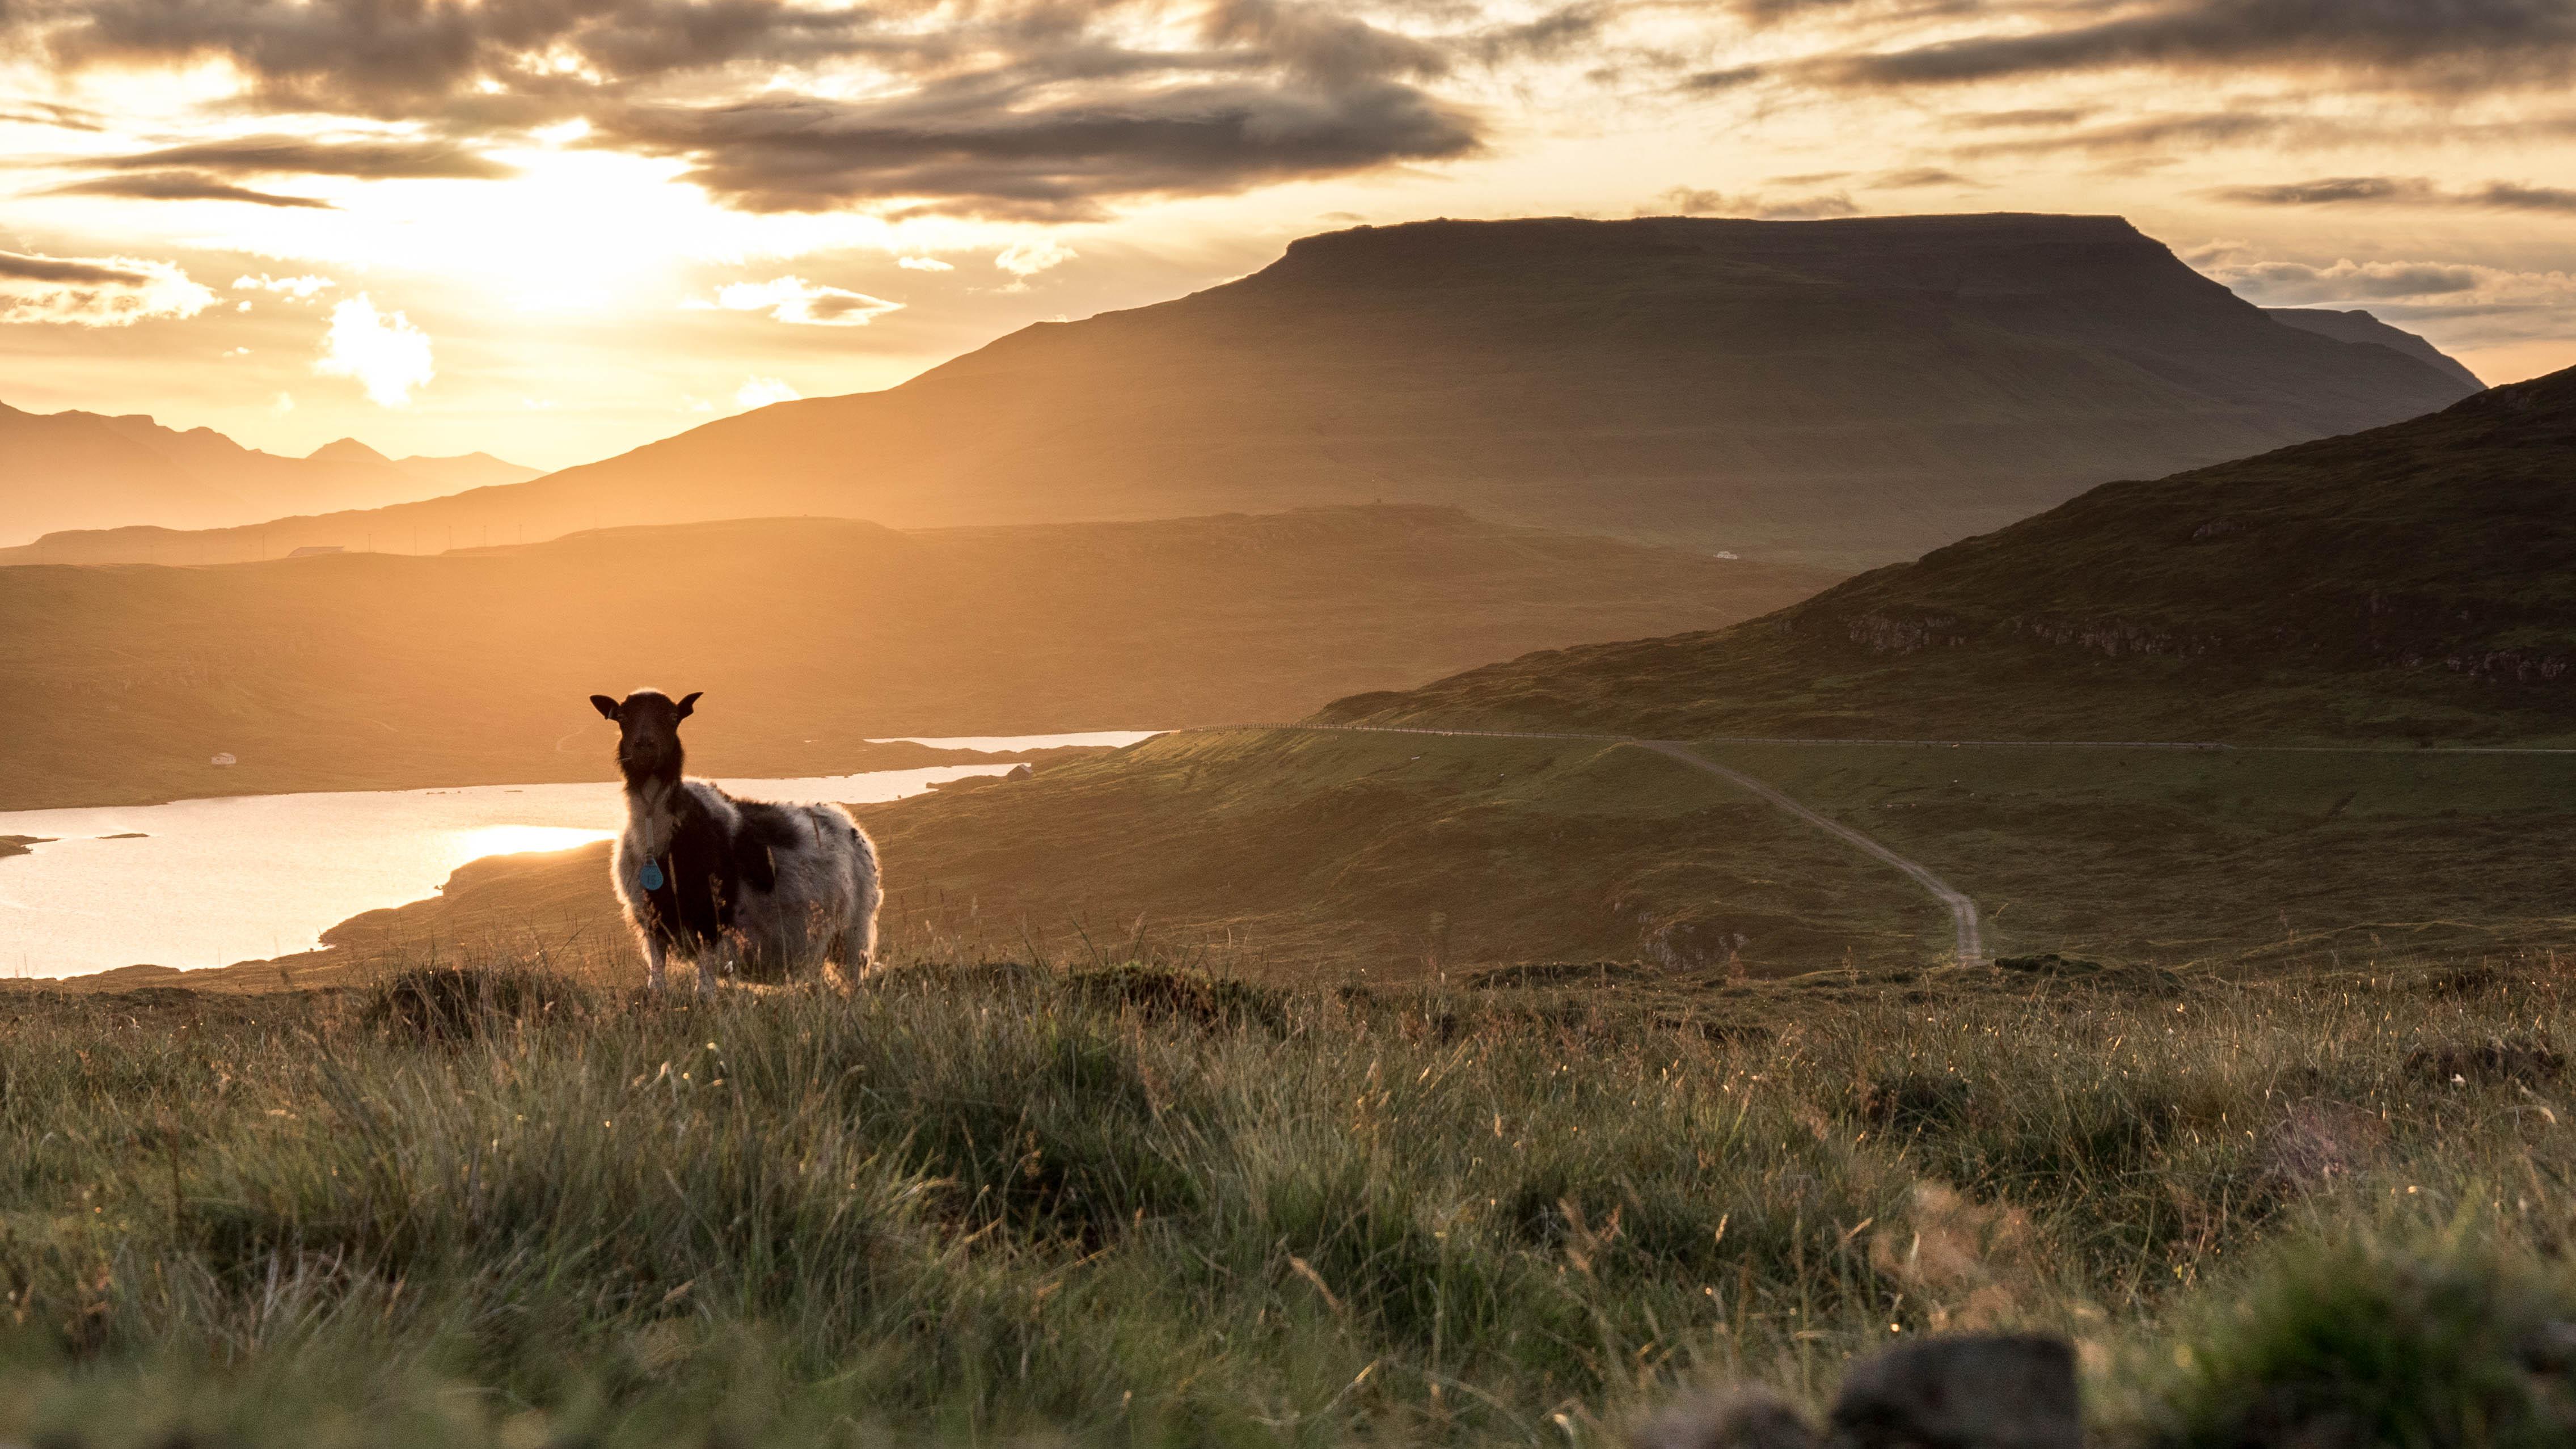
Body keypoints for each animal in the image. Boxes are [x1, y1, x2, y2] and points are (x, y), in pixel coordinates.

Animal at [589, 689, 881, 994]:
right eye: (622, 718)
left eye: (672, 718)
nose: (644, 747)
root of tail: (849, 823)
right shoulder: (653, 924)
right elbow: (657, 984)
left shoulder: (712, 920)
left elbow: (704, 989)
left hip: (853, 933)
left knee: (854, 981)